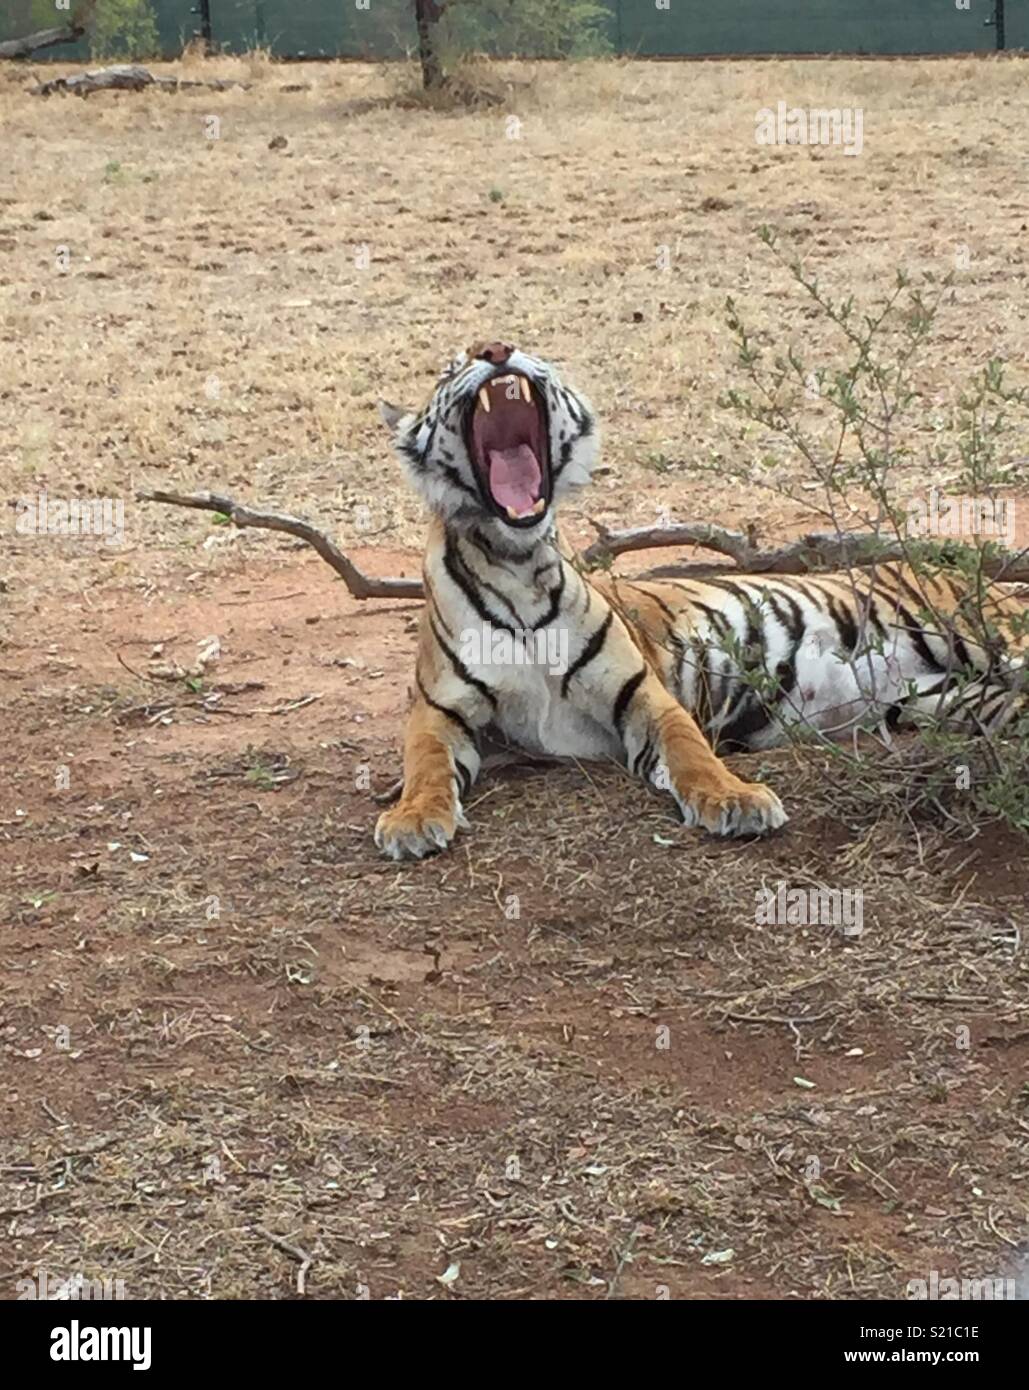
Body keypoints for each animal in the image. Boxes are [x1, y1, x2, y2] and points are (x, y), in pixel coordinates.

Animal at [374, 340, 1028, 860]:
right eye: (450, 366)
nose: (494, 349)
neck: (517, 563)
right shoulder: (440, 711)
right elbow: (425, 766)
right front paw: (412, 819)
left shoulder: (643, 694)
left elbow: (692, 753)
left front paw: (736, 800)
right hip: (953, 700)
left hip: (987, 641)